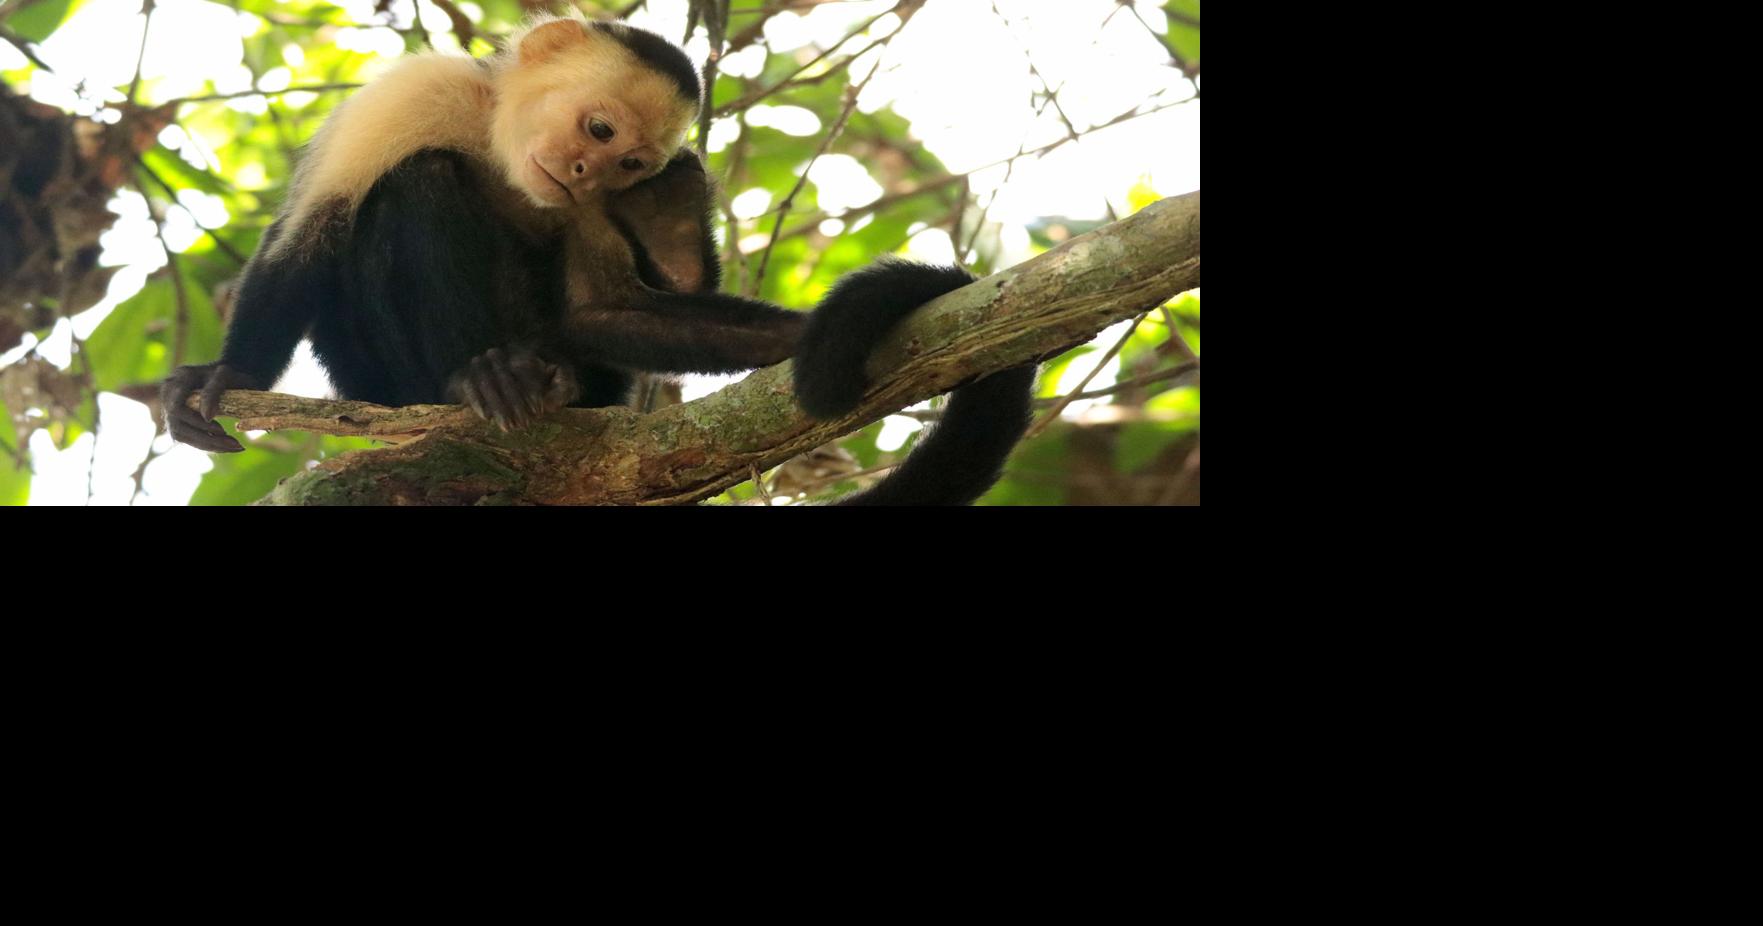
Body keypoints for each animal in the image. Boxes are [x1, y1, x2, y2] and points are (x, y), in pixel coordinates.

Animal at [160, 14, 1035, 505]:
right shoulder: (415, 93)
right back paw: (477, 378)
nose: (585, 170)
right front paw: (226, 376)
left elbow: (604, 310)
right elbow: (311, 234)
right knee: (418, 182)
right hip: (375, 379)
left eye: (626, 161)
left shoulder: (597, 204)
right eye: (600, 129)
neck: (502, 144)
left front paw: (793, 332)